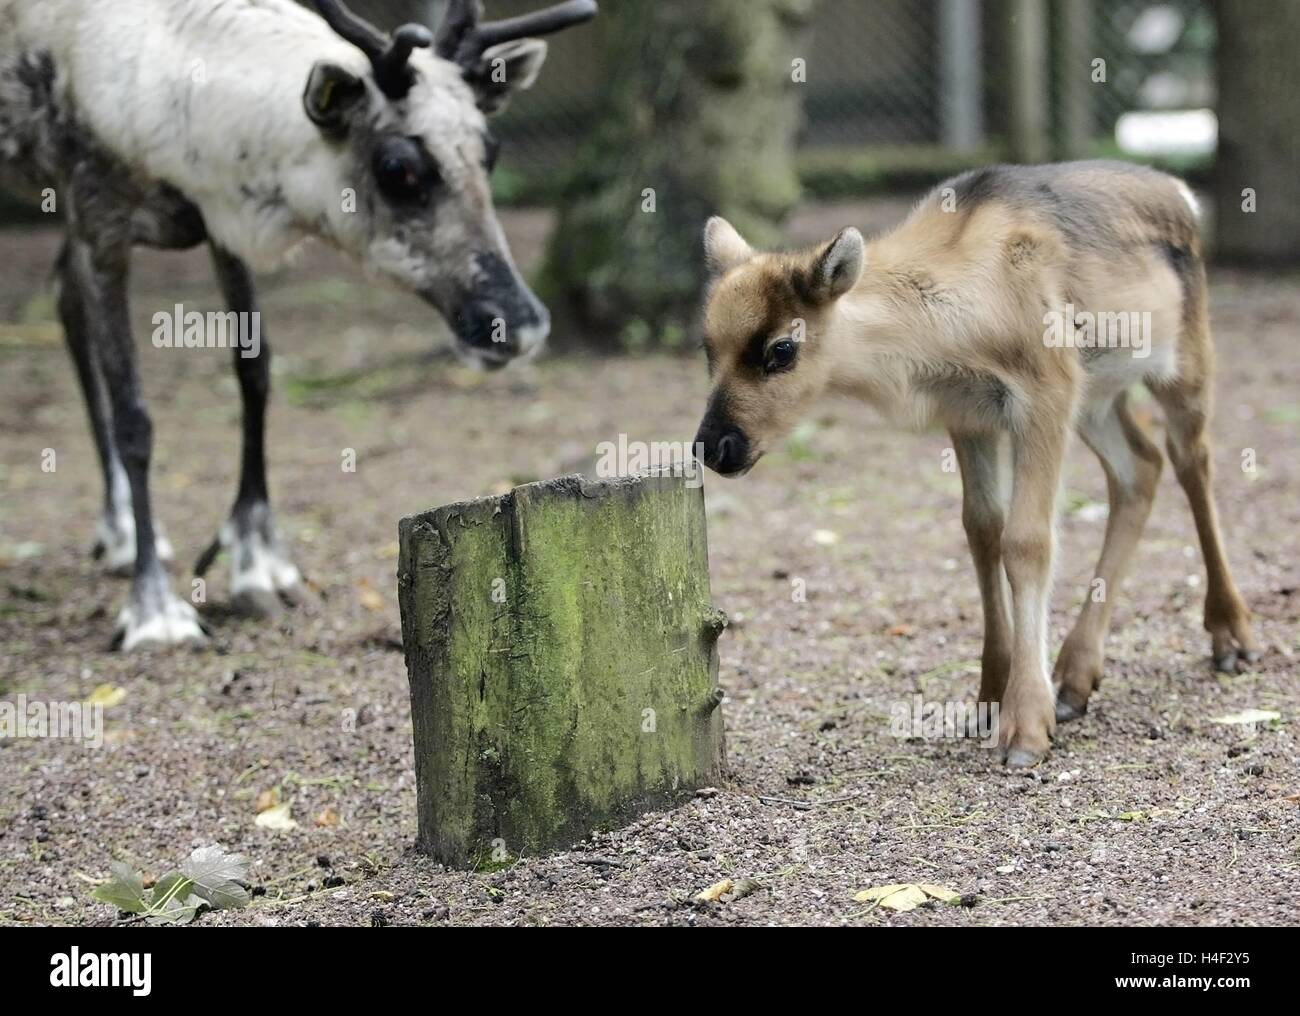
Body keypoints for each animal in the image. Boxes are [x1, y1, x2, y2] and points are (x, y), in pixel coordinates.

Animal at [0, 0, 596, 650]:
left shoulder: (221, 225)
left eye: (490, 149)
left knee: (64, 291)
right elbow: (135, 417)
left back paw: (121, 530)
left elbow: (254, 374)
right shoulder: (100, 220)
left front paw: (258, 559)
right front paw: (155, 611)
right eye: (397, 168)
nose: (519, 322)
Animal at [692, 161, 1262, 767]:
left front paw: (1025, 727)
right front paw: (989, 696)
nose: (713, 445)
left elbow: (1028, 541)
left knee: (1192, 461)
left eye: (781, 349)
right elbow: (983, 529)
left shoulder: (1045, 394)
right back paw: (1075, 679)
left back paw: (1231, 637)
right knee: (1141, 467)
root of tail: (1181, 194)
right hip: (1098, 398)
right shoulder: (970, 415)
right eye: (708, 347)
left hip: (1184, 360)